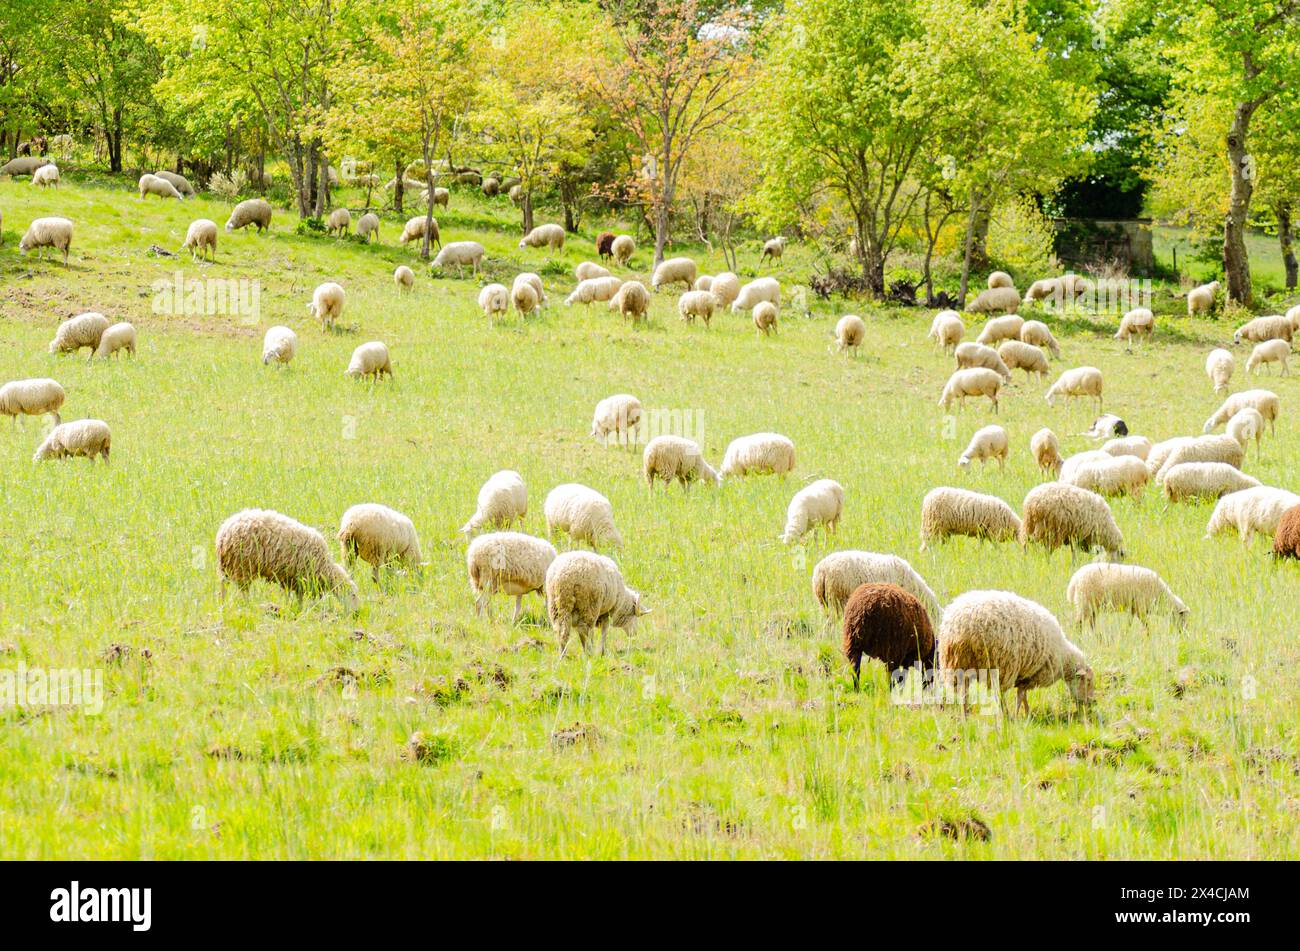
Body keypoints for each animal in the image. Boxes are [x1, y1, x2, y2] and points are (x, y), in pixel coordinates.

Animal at [215, 508, 358, 613]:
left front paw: (296, 608)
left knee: (223, 585)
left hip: (227, 566)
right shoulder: (300, 576)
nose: (356, 614)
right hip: (242, 565)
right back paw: (248, 605)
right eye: (353, 595)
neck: (325, 568)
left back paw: (222, 604)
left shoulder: (292, 578)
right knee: (243, 590)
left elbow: (295, 596)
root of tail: (223, 532)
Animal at [938, 590, 1093, 716]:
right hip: (1000, 665)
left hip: (958, 664)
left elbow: (1021, 695)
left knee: (963, 692)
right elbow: (1021, 695)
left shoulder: (1025, 676)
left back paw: (965, 716)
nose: (1091, 703)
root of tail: (963, 623)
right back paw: (1005, 715)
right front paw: (1023, 715)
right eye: (1088, 681)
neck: (1063, 657)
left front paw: (1026, 713)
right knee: (999, 693)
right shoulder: (1032, 675)